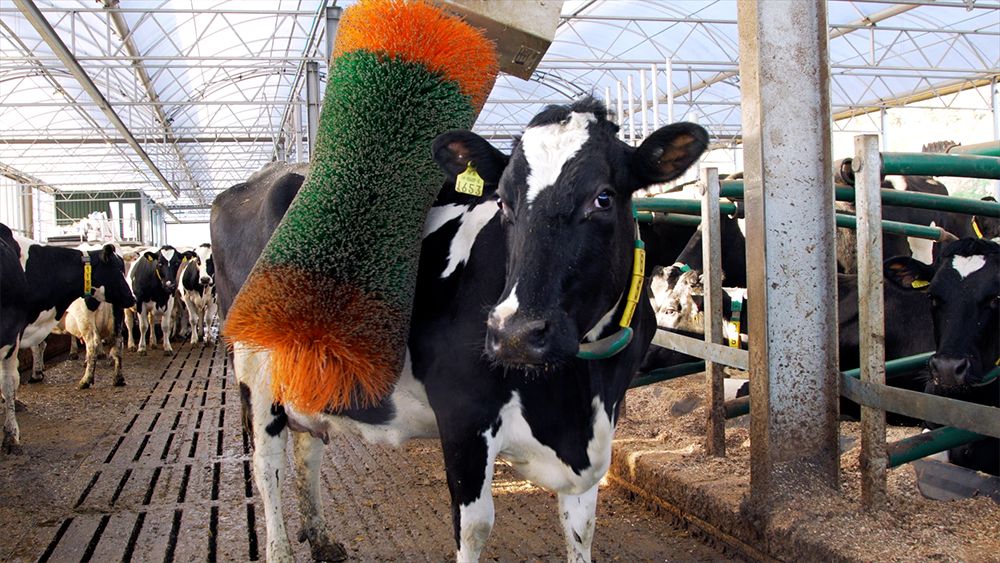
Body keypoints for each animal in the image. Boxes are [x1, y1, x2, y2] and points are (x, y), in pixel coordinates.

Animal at [0, 226, 135, 453]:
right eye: (117, 269)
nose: (132, 298)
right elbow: (39, 347)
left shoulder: (14, 333)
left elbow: (12, 378)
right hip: (116, 316)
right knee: (117, 344)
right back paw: (117, 378)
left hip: (85, 318)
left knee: (93, 343)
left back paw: (86, 380)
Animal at [214, 99, 708, 562]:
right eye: (504, 201)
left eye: (603, 198)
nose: (514, 334)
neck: (577, 392)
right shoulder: (463, 414)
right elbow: (474, 529)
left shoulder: (594, 436)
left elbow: (581, 531)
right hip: (254, 369)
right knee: (267, 467)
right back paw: (279, 550)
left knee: (307, 448)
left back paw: (320, 537)